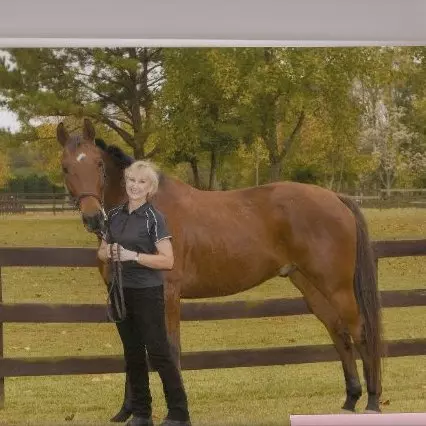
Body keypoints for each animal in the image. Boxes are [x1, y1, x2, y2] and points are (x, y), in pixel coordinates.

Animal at [55, 120, 382, 420]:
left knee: (360, 331)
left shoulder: (167, 295)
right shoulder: (123, 297)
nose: (94, 218)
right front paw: (127, 412)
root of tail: (335, 197)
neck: (140, 211)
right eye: (65, 167)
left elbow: (168, 349)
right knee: (338, 332)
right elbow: (132, 352)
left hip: (336, 287)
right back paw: (350, 399)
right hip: (310, 286)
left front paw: (177, 412)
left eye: (98, 164)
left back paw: (373, 401)